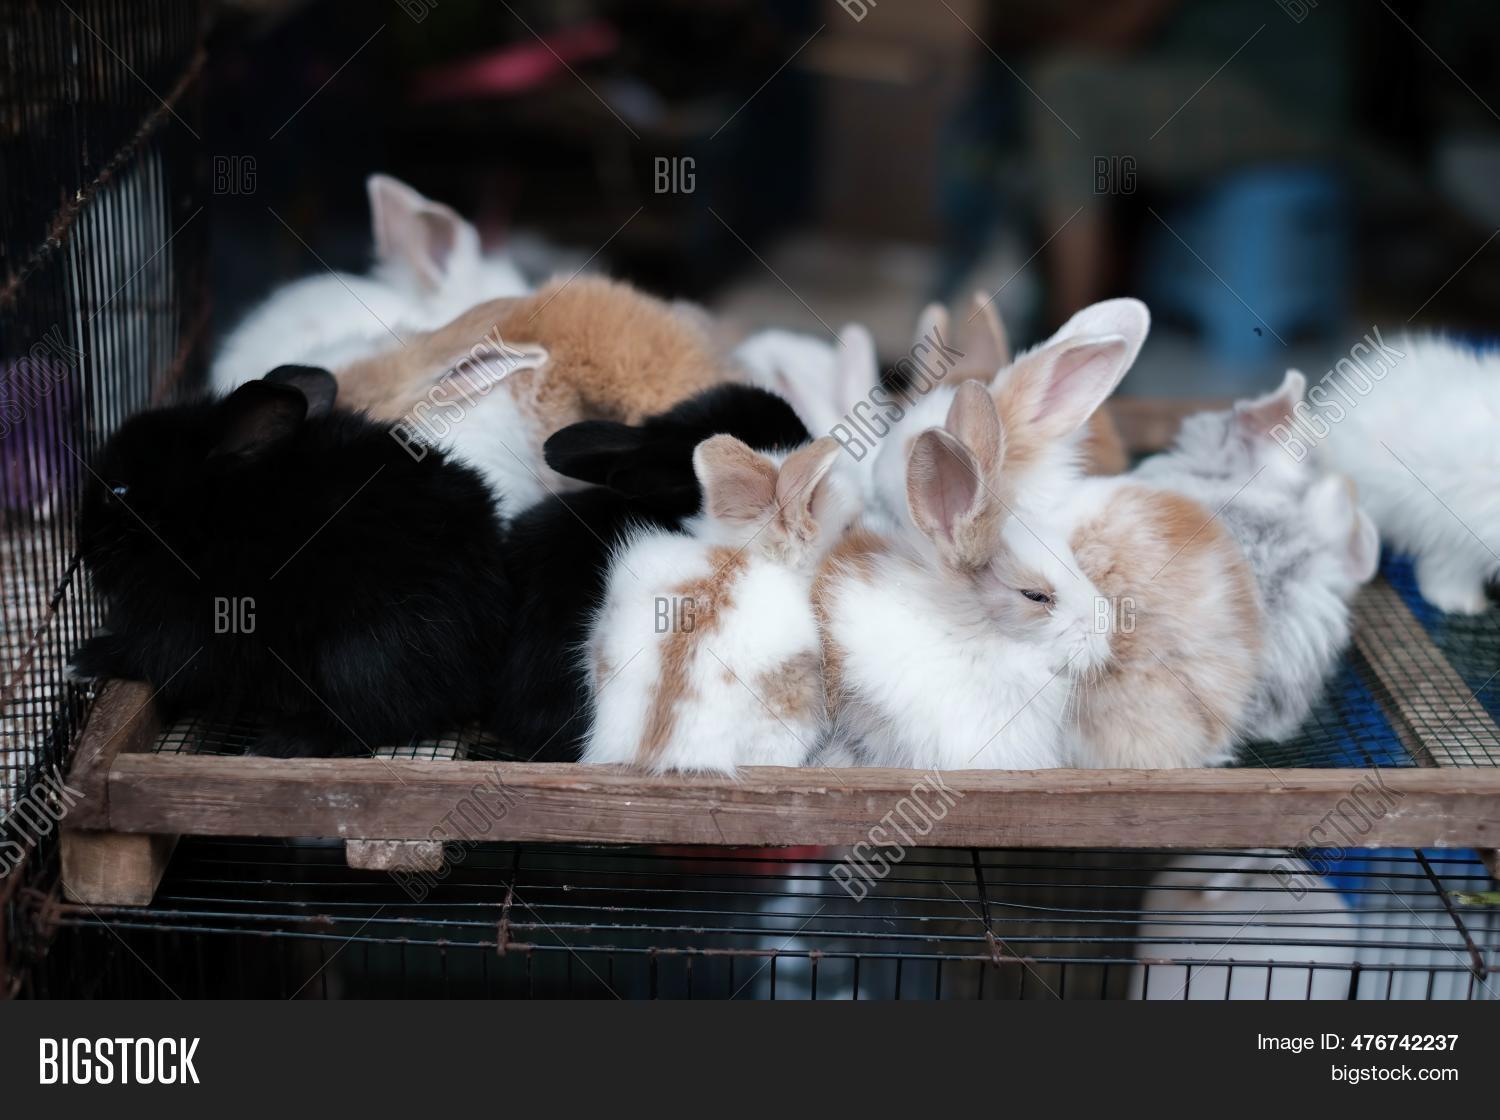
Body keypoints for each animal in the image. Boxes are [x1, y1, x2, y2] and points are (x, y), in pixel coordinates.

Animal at [71, 365, 510, 758]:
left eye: (117, 491)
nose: (83, 549)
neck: (203, 519)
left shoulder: (199, 623)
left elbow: (150, 654)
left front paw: (84, 659)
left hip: (359, 655)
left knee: (378, 717)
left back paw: (279, 744)